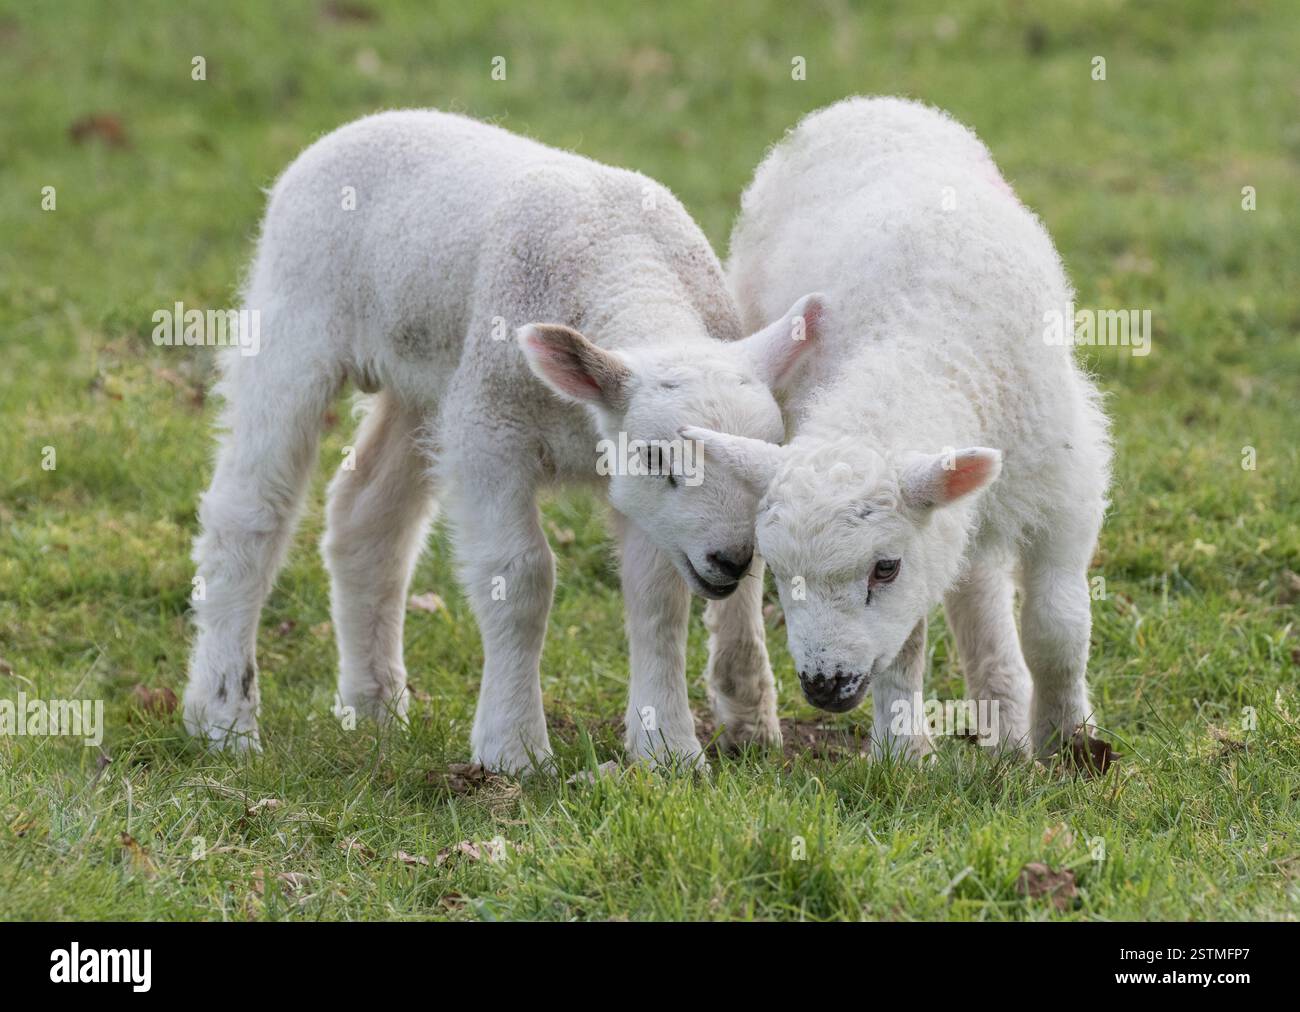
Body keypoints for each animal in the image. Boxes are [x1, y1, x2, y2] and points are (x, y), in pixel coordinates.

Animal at [180, 109, 820, 772]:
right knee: (248, 514)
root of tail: (365, 121)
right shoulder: (492, 435)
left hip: (427, 386)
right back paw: (223, 717)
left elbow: (658, 599)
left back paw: (375, 709)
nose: (733, 559)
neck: (625, 267)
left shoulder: (644, 502)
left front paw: (666, 749)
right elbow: (521, 579)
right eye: (658, 456)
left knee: (368, 521)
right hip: (293, 328)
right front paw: (514, 749)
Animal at [687, 97, 1112, 759]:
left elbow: (1058, 628)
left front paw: (1070, 743)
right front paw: (903, 754)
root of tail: (865, 104)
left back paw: (1006, 722)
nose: (825, 687)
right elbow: (904, 646)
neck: (915, 348)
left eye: (884, 568)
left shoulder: (1067, 491)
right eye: (781, 572)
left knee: (977, 581)